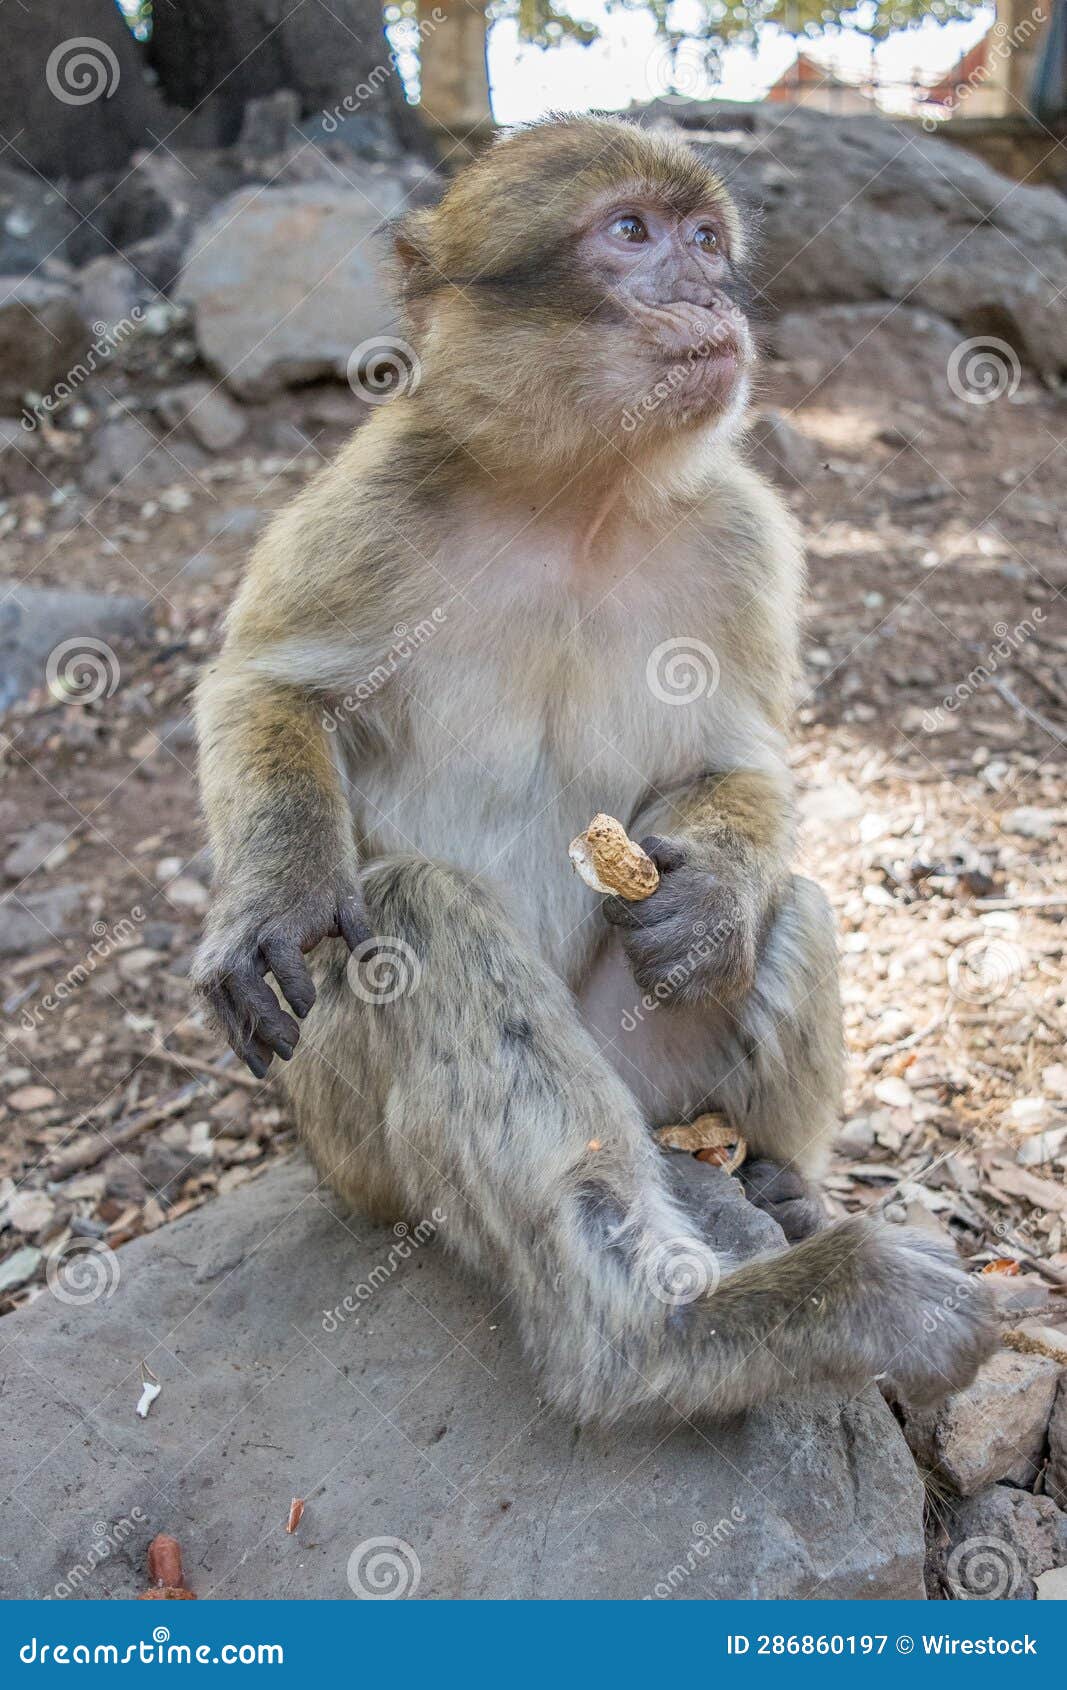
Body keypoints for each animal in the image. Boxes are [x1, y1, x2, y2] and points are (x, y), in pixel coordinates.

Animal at [192, 115, 996, 1423]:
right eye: (631, 232)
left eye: (706, 239)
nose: (708, 292)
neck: (576, 501)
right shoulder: (372, 499)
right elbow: (266, 691)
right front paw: (278, 891)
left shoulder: (743, 529)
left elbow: (742, 762)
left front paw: (708, 895)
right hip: (349, 1141)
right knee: (411, 917)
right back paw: (679, 1332)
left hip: (651, 1072)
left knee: (794, 903)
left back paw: (775, 1187)